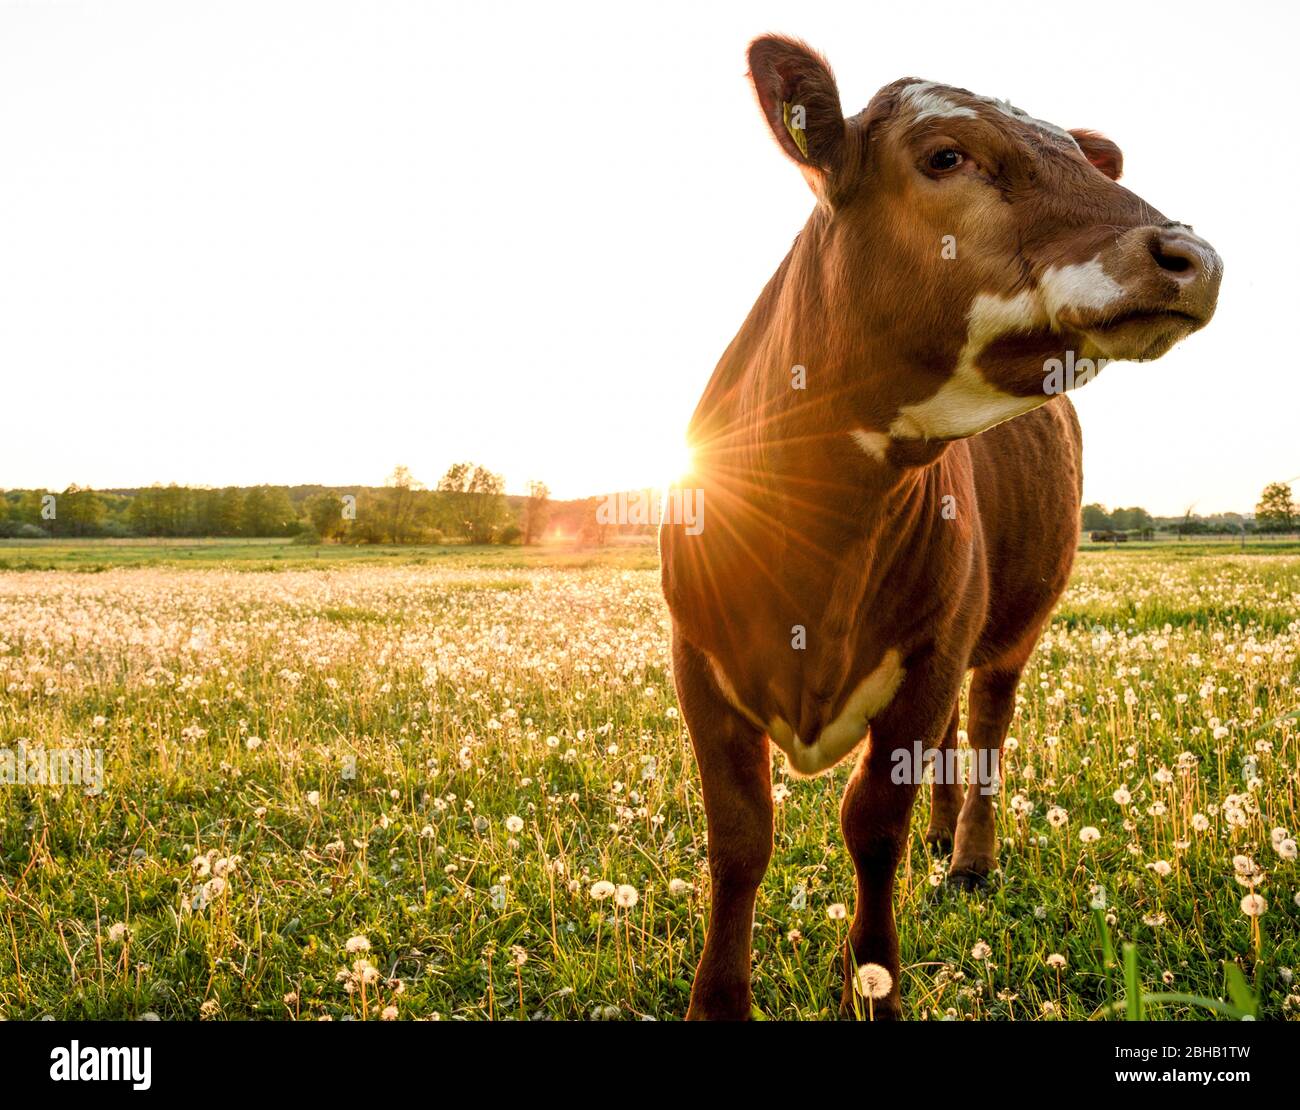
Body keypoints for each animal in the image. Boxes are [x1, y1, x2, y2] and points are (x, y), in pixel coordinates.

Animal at [659, 35, 1221, 1020]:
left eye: (1083, 159)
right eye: (946, 156)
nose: (1191, 254)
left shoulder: (929, 654)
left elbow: (871, 824)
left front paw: (875, 983)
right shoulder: (699, 658)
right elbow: (740, 837)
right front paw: (718, 1001)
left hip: (1009, 625)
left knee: (986, 726)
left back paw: (968, 857)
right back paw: (945, 834)